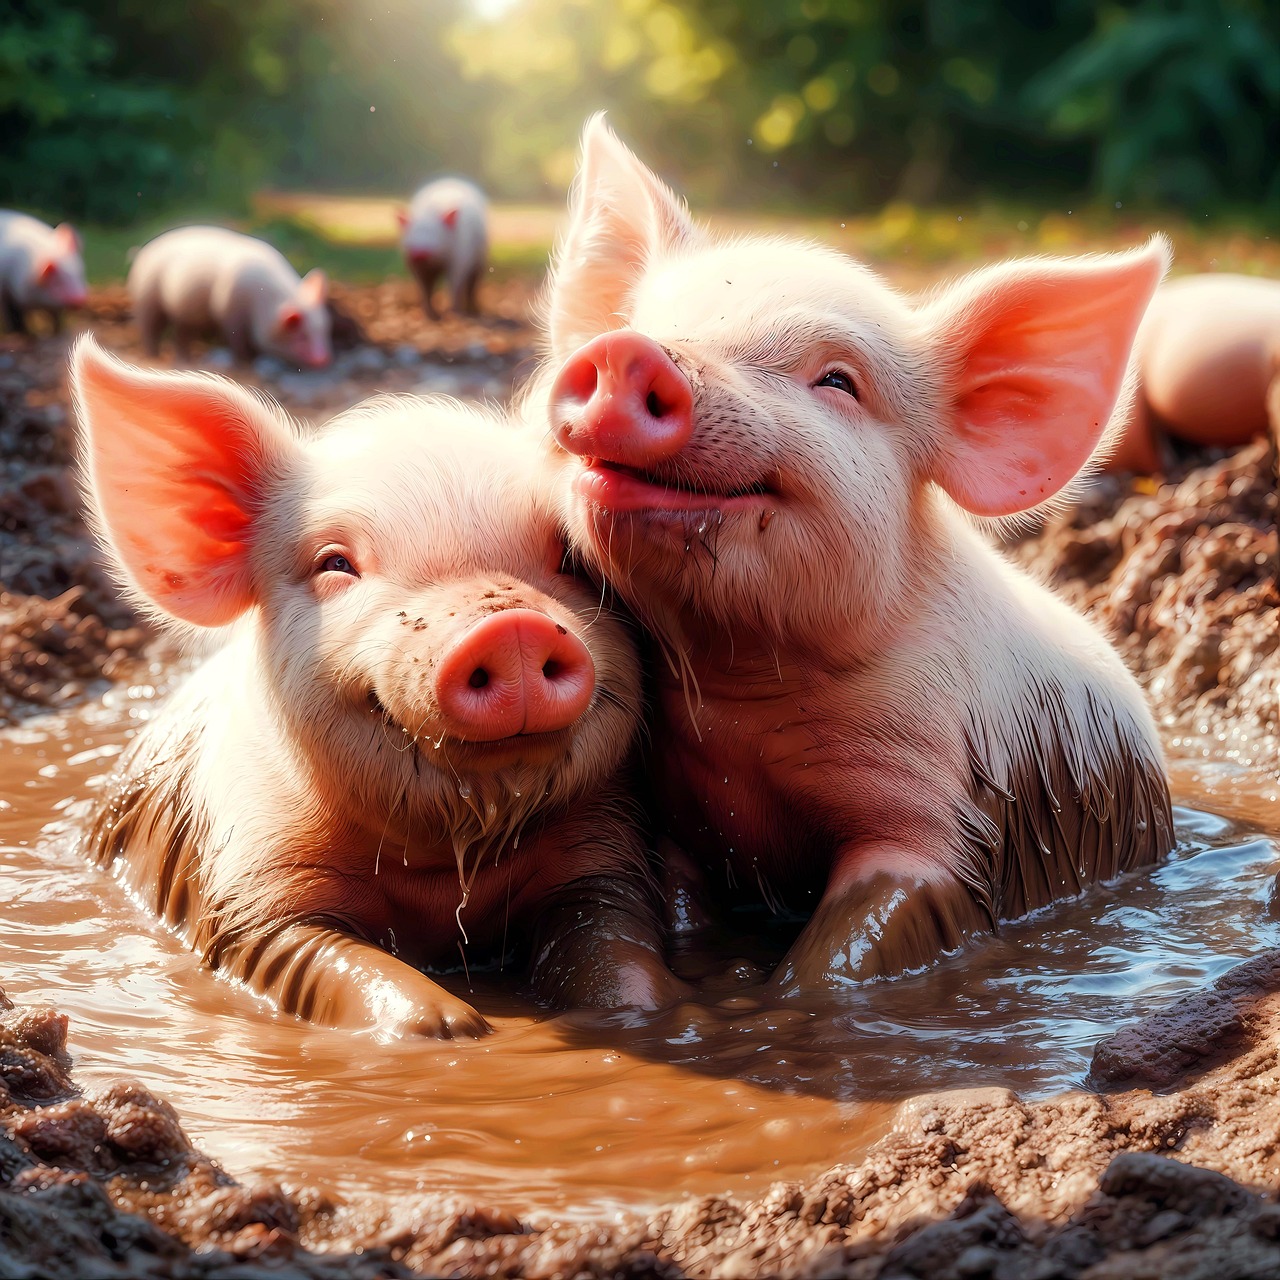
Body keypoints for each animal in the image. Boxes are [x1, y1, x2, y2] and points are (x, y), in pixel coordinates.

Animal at [71, 336, 681, 1038]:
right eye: (335, 563)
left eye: (571, 558)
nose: (514, 628)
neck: (445, 874)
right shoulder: (249, 876)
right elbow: (327, 960)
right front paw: (454, 1028)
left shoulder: (604, 850)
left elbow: (616, 945)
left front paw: (632, 1015)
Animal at [127, 226, 331, 368]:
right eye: (300, 335)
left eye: (324, 329)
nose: (323, 359)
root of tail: (142, 252)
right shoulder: (228, 309)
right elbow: (236, 337)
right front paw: (245, 360)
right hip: (146, 297)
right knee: (149, 328)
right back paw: (154, 358)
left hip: (184, 314)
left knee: (181, 335)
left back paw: (185, 362)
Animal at [397, 177, 489, 319]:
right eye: (412, 236)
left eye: (434, 234)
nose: (418, 253)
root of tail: (451, 179)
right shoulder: (416, 267)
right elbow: (425, 288)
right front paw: (431, 316)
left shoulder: (460, 256)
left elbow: (454, 282)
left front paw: (454, 313)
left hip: (481, 260)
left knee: (472, 284)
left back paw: (473, 312)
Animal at [534, 117, 1176, 991]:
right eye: (643, 322)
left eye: (837, 381)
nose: (629, 351)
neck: (742, 700)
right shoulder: (680, 814)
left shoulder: (936, 802)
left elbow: (858, 936)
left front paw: (776, 1006)